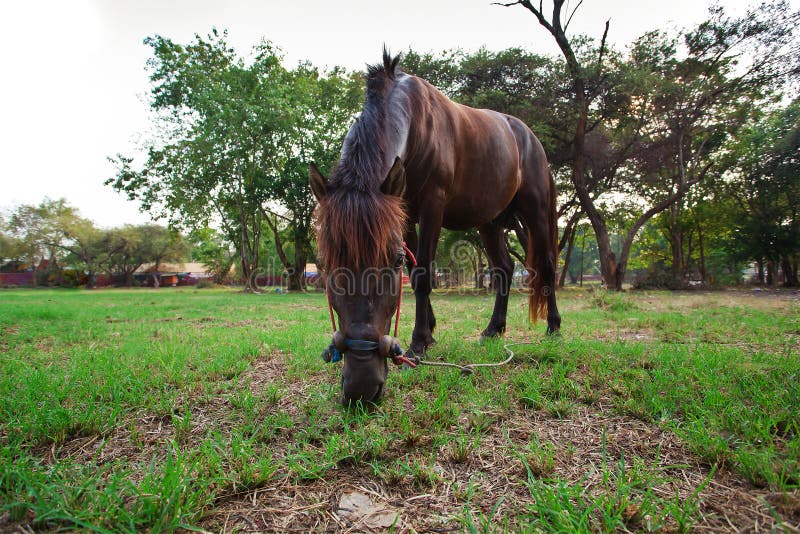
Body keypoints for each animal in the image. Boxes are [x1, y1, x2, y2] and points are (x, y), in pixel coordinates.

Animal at [309, 51, 560, 405]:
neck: (415, 122)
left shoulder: (432, 206)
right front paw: (429, 332)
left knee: (547, 265)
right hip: (489, 222)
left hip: (536, 210)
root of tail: (527, 135)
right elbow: (416, 275)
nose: (361, 387)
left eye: (394, 260)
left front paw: (417, 344)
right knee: (504, 269)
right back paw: (493, 330)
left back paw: (553, 328)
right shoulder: (404, 212)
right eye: (325, 263)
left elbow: (424, 274)